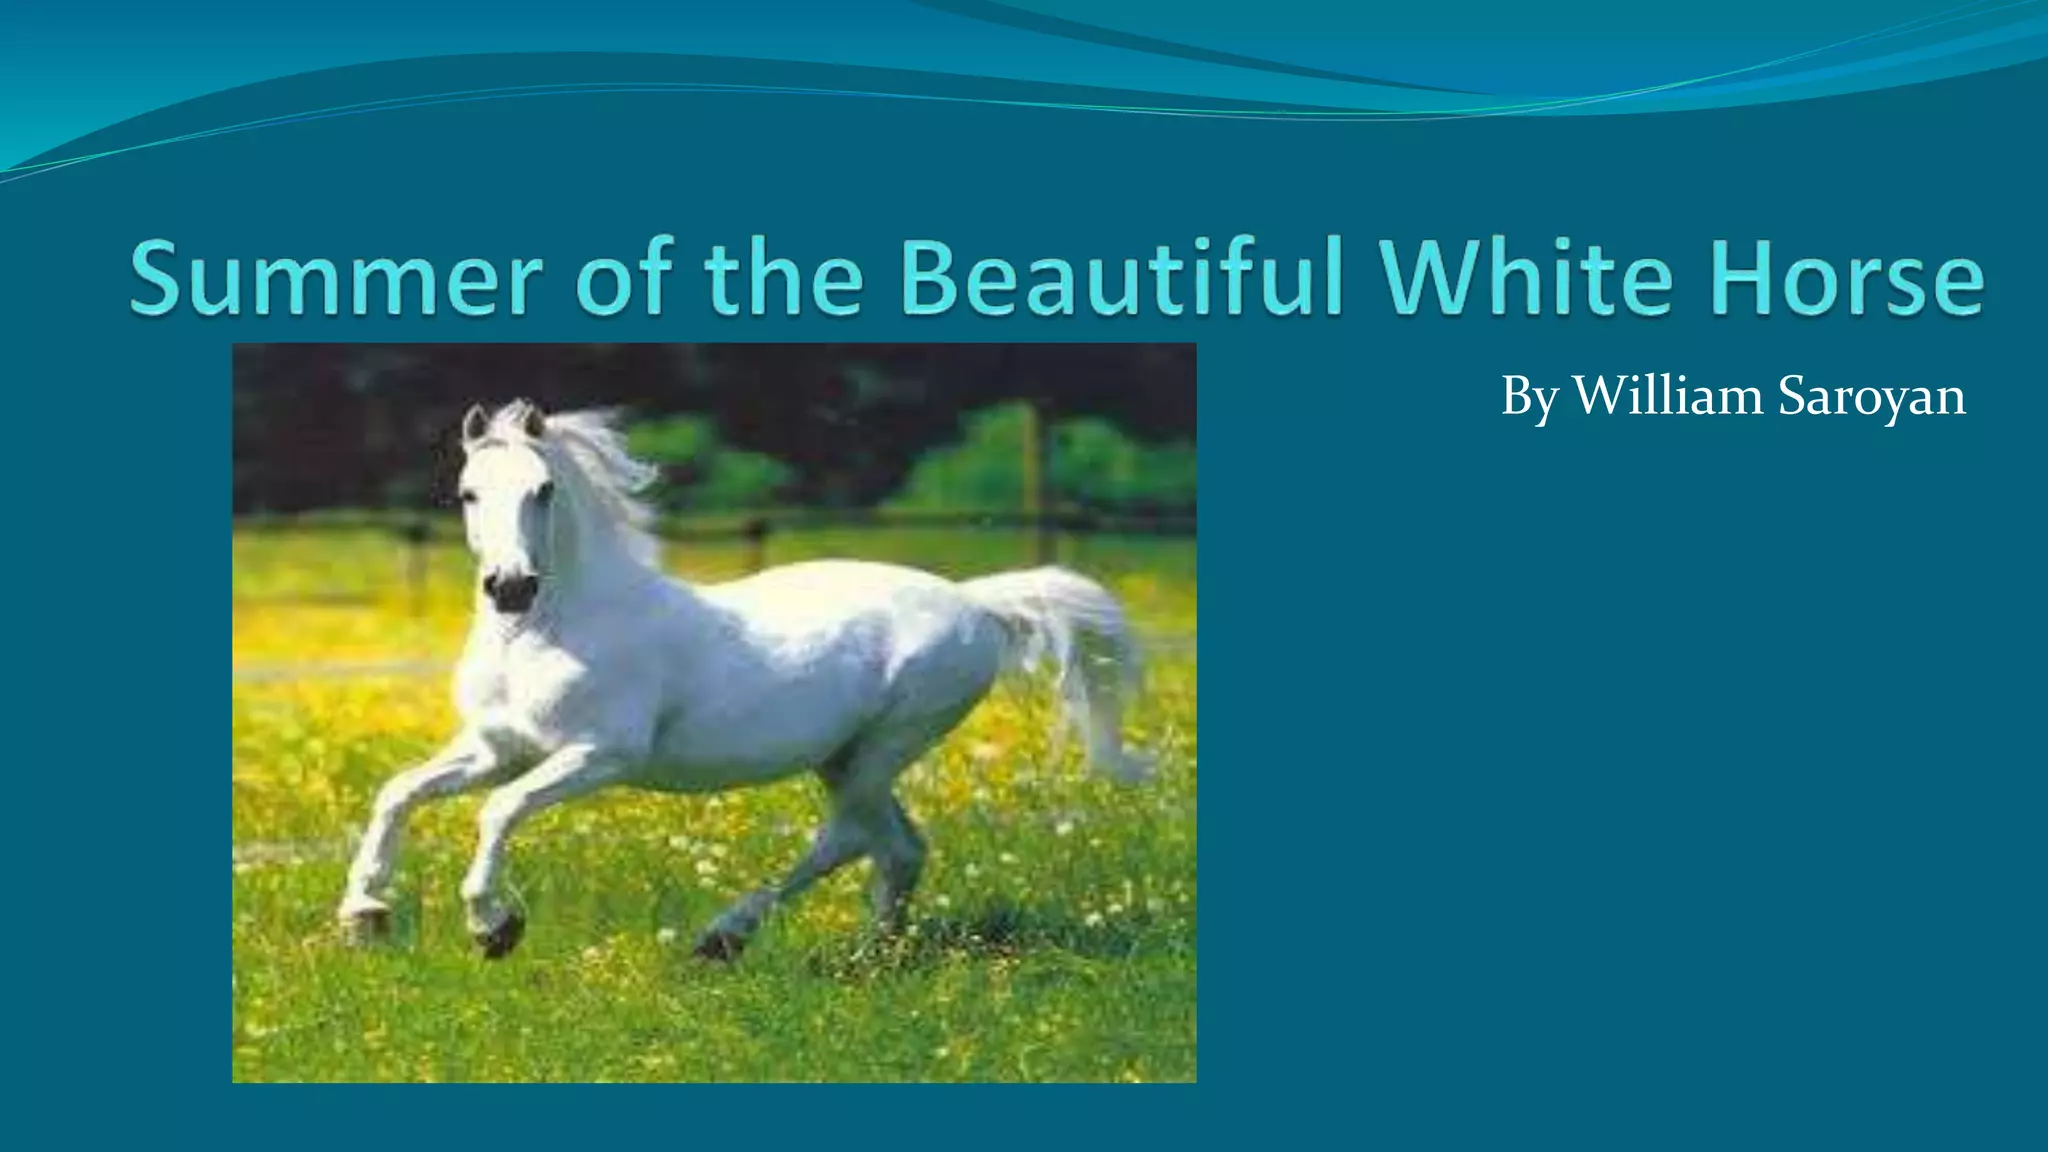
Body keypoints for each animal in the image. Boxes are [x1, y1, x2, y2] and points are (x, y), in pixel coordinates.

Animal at [336, 399, 1152, 960]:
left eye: (543, 490)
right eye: (468, 493)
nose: (509, 587)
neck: (551, 631)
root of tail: (976, 603)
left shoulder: (599, 755)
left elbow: (498, 811)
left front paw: (493, 926)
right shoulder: (499, 747)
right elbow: (398, 792)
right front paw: (364, 915)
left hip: (884, 744)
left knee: (849, 837)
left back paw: (724, 936)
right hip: (845, 757)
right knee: (898, 848)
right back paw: (871, 956)